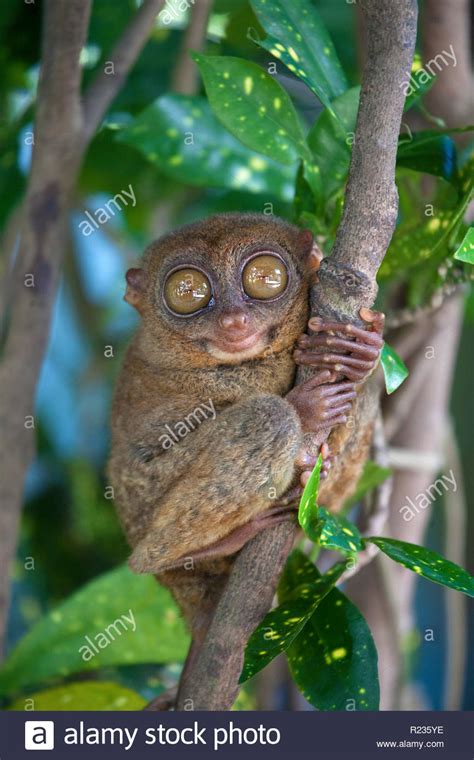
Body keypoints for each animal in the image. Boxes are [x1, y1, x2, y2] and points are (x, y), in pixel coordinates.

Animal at [108, 212, 384, 679]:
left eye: (265, 278)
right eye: (187, 292)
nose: (234, 321)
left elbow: (360, 379)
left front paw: (361, 353)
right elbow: (270, 400)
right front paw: (309, 406)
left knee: (364, 397)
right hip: (147, 505)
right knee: (269, 417)